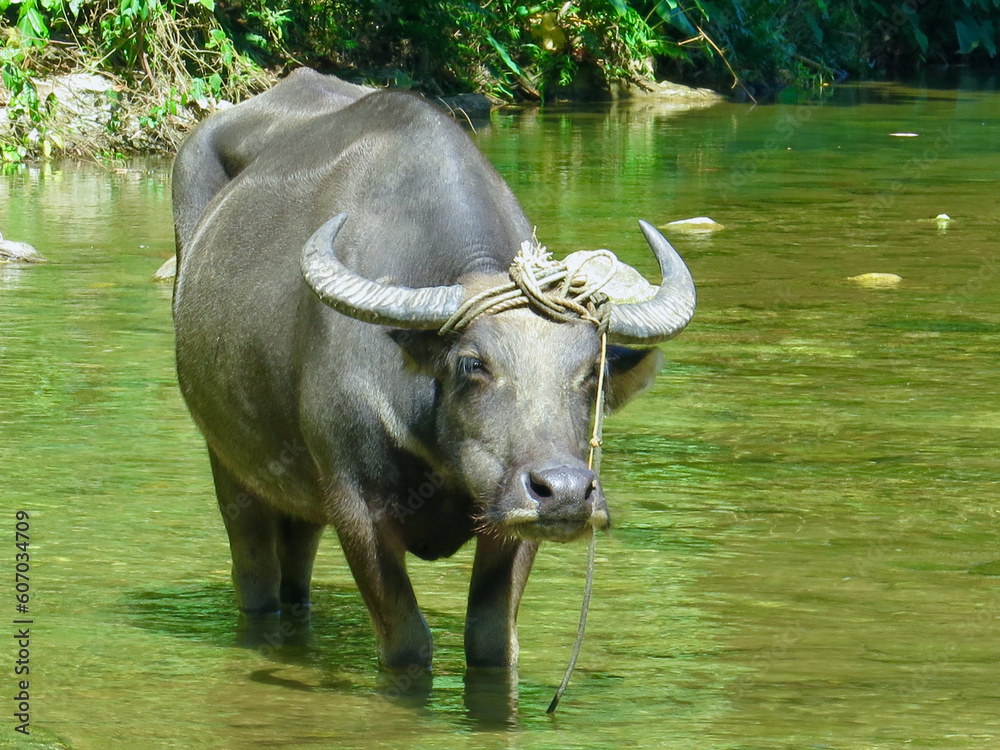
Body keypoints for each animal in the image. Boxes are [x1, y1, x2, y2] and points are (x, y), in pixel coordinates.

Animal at [171, 68, 695, 671]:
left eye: (592, 373)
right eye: (472, 363)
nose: (563, 490)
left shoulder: (512, 520)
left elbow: (491, 639)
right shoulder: (356, 504)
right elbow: (407, 643)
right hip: (229, 461)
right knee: (254, 577)